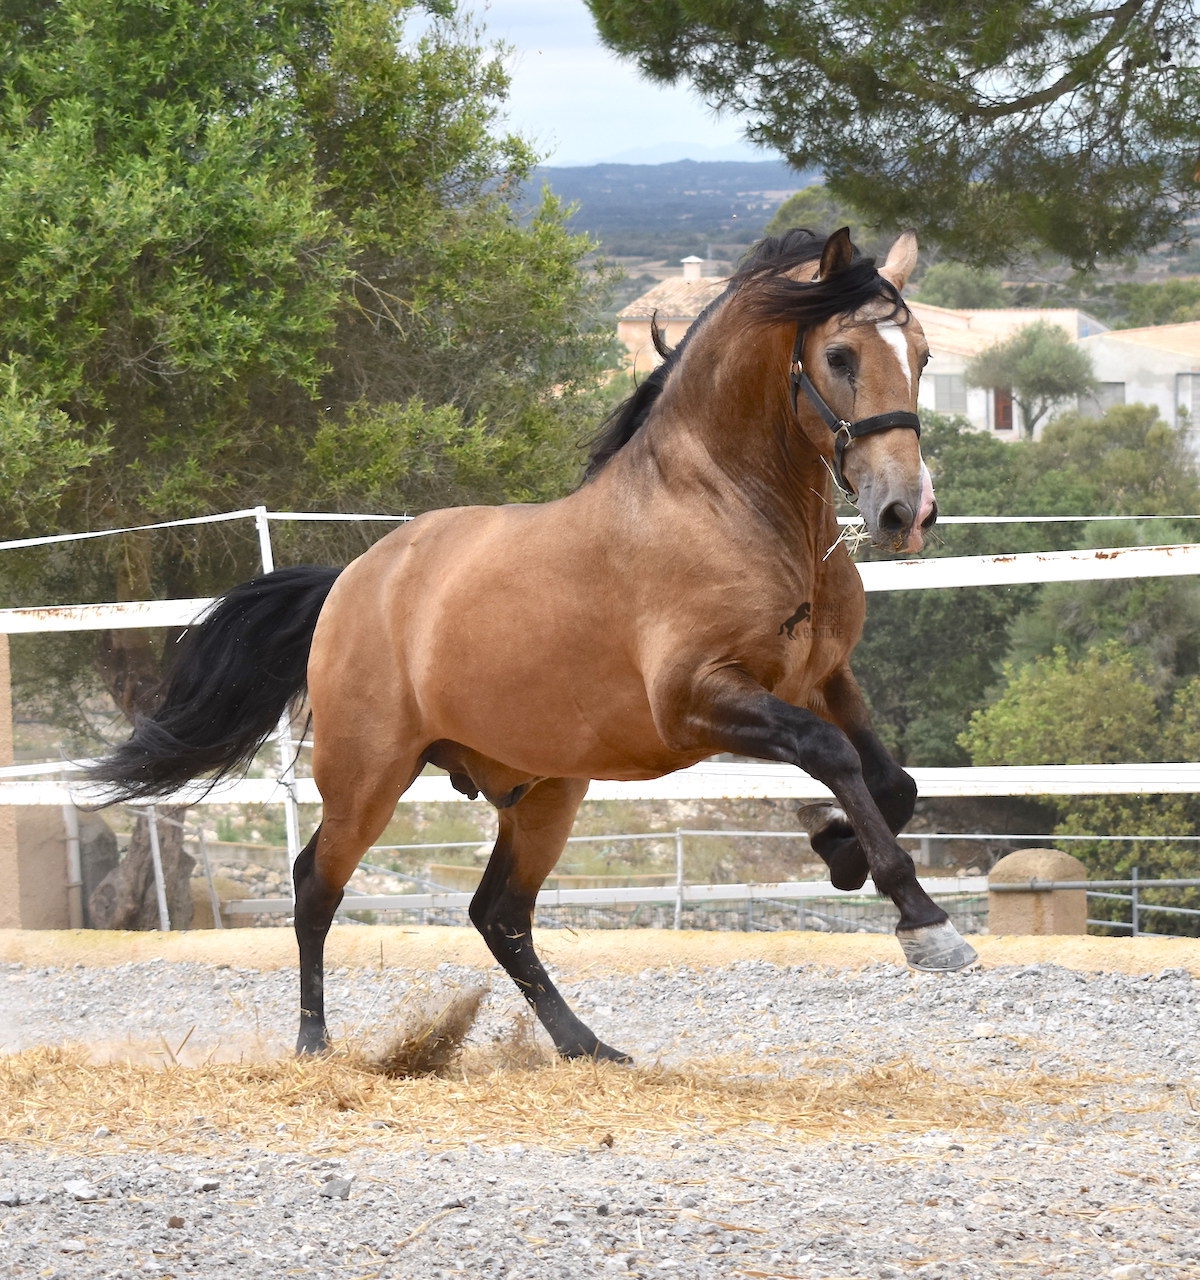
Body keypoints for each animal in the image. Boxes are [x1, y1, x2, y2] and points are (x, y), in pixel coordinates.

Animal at [89, 226, 978, 1062]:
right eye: (839, 355)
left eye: (925, 354)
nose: (906, 512)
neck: (729, 509)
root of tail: (351, 582)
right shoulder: (699, 701)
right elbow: (830, 754)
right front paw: (924, 921)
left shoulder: (823, 678)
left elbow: (890, 780)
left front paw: (837, 849)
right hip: (367, 777)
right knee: (317, 887)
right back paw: (315, 1043)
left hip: (546, 790)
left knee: (499, 915)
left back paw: (585, 1044)